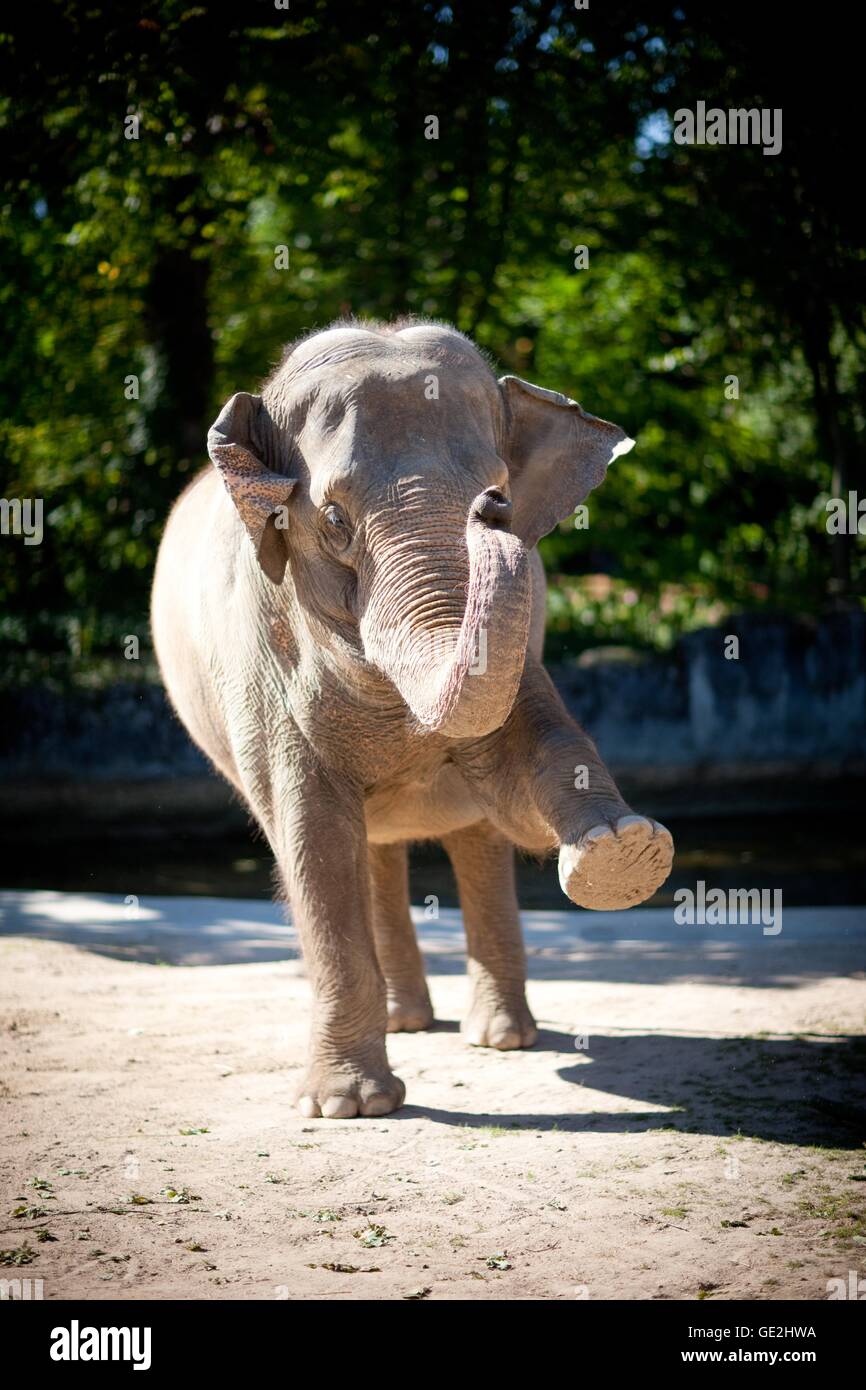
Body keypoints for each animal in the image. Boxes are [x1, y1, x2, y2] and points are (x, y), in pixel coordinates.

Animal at [151, 318, 673, 1118]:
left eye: (500, 489)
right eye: (334, 519)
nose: (490, 511)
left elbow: (528, 767)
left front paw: (621, 852)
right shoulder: (261, 668)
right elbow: (313, 843)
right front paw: (347, 1108)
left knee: (472, 841)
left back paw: (500, 1039)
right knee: (367, 848)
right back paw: (409, 1028)